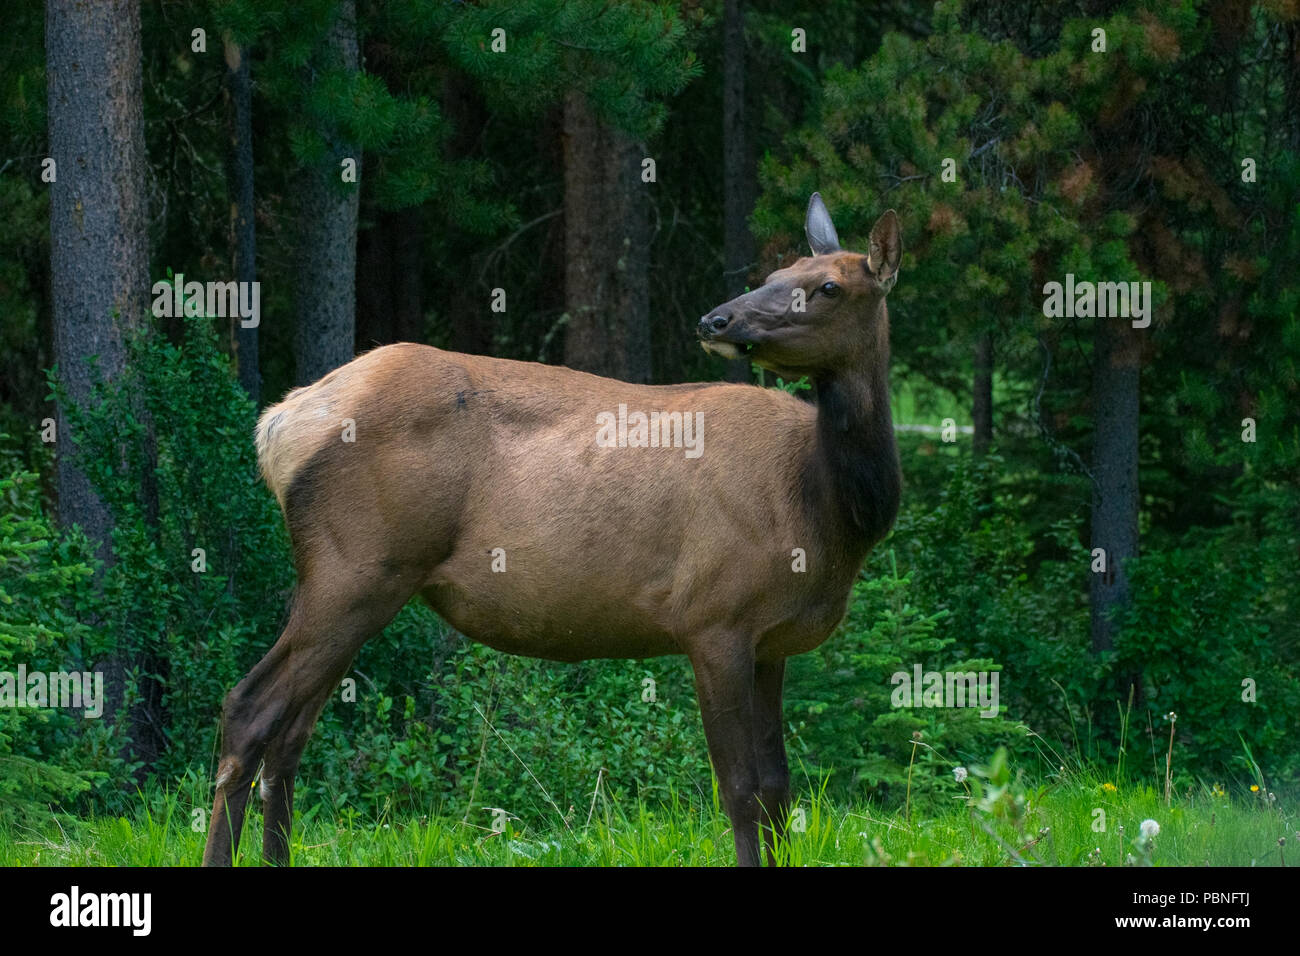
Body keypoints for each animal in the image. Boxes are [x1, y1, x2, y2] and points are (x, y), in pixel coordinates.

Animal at [201, 193, 902, 868]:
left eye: (827, 285)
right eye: (779, 274)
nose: (716, 321)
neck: (822, 511)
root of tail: (279, 424)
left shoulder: (771, 643)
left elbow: (781, 788)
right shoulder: (713, 617)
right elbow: (740, 788)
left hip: (344, 581)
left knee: (291, 733)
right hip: (356, 569)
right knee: (248, 708)